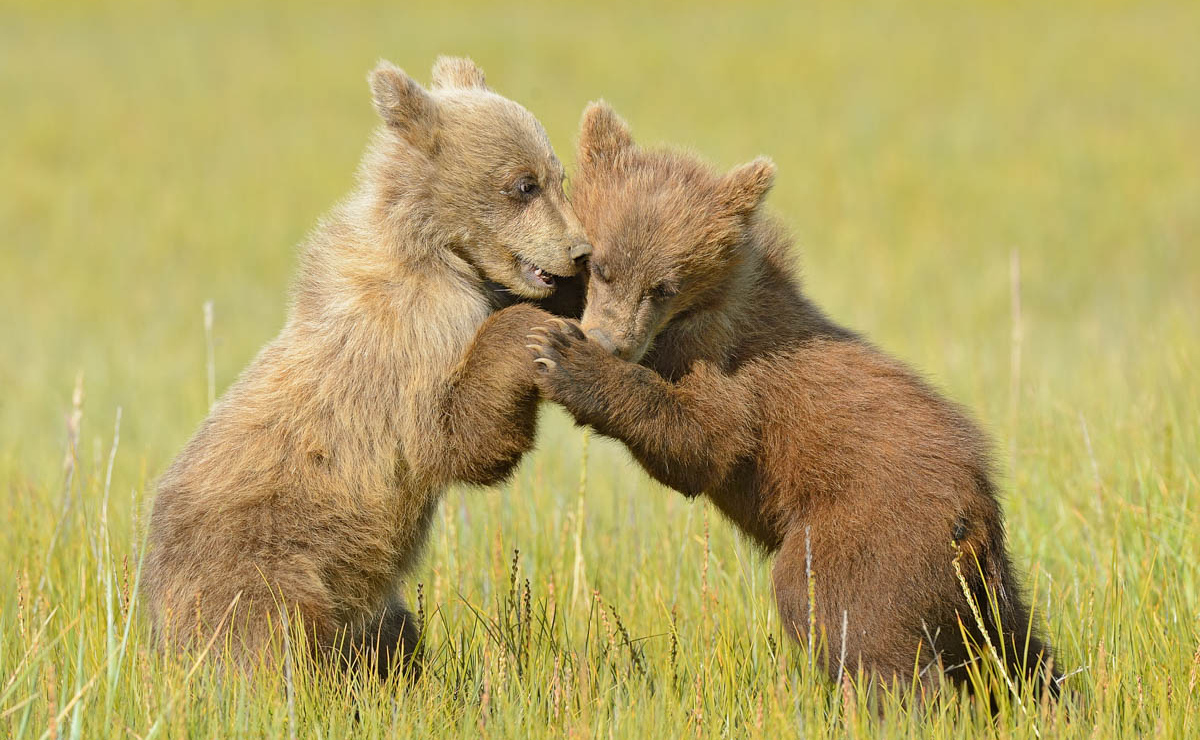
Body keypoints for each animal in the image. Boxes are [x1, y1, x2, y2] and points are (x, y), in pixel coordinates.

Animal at [142, 57, 591, 678]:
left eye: (558, 175)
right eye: (524, 184)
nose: (580, 250)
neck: (438, 254)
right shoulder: (404, 347)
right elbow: (450, 436)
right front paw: (529, 330)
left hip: (361, 602)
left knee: (393, 632)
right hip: (261, 563)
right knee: (271, 640)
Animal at [525, 102, 1060, 701]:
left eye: (664, 286)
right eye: (600, 265)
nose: (609, 341)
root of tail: (978, 504)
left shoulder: (733, 368)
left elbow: (705, 439)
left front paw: (564, 358)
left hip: (872, 530)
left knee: (846, 617)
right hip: (977, 587)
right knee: (1015, 650)